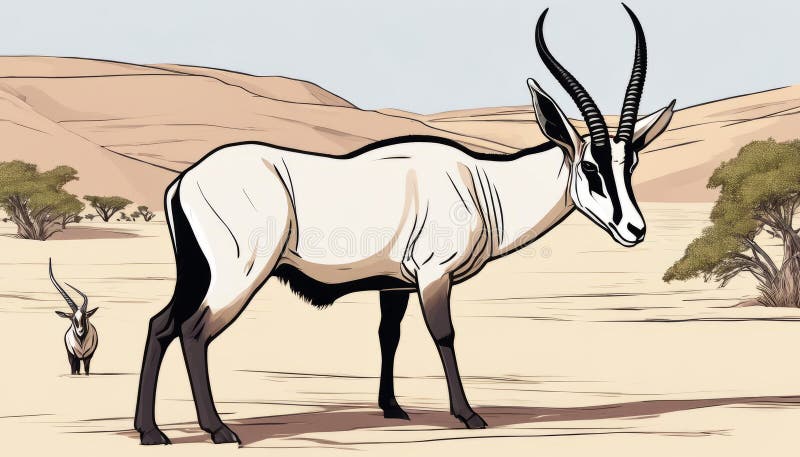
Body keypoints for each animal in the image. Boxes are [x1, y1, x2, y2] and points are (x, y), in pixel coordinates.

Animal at [135, 5, 675, 445]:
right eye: (591, 167)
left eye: (630, 164)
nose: (634, 228)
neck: (481, 181)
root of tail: (183, 180)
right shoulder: (434, 275)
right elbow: (445, 334)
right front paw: (469, 415)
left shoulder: (393, 283)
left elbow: (388, 334)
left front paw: (392, 408)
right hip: (240, 273)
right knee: (195, 330)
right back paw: (218, 430)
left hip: (198, 272)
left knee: (162, 323)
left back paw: (151, 431)